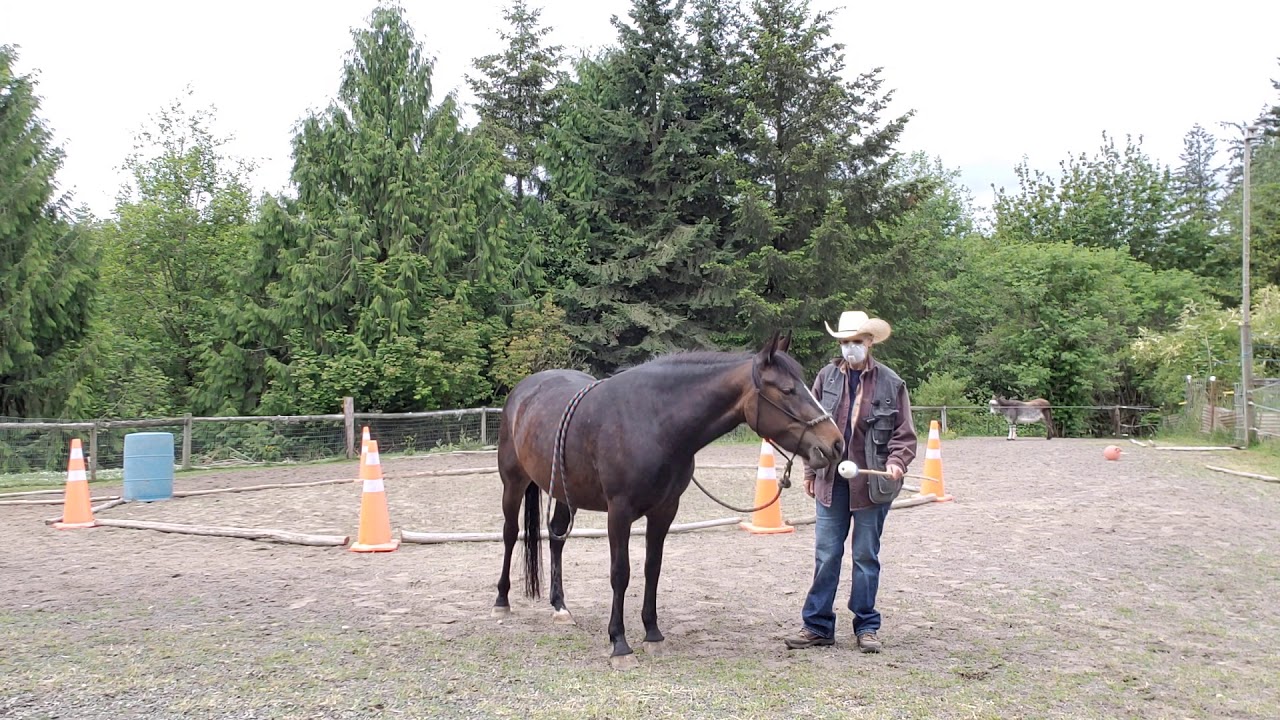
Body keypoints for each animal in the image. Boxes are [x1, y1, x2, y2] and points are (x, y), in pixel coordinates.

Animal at [493, 332, 844, 668]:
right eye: (787, 390)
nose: (836, 443)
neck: (653, 422)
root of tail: (523, 392)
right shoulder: (618, 512)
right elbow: (620, 573)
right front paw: (619, 643)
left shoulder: (665, 511)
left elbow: (653, 567)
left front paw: (653, 633)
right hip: (513, 483)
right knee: (510, 534)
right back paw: (501, 602)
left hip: (566, 492)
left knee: (556, 537)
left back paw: (560, 606)